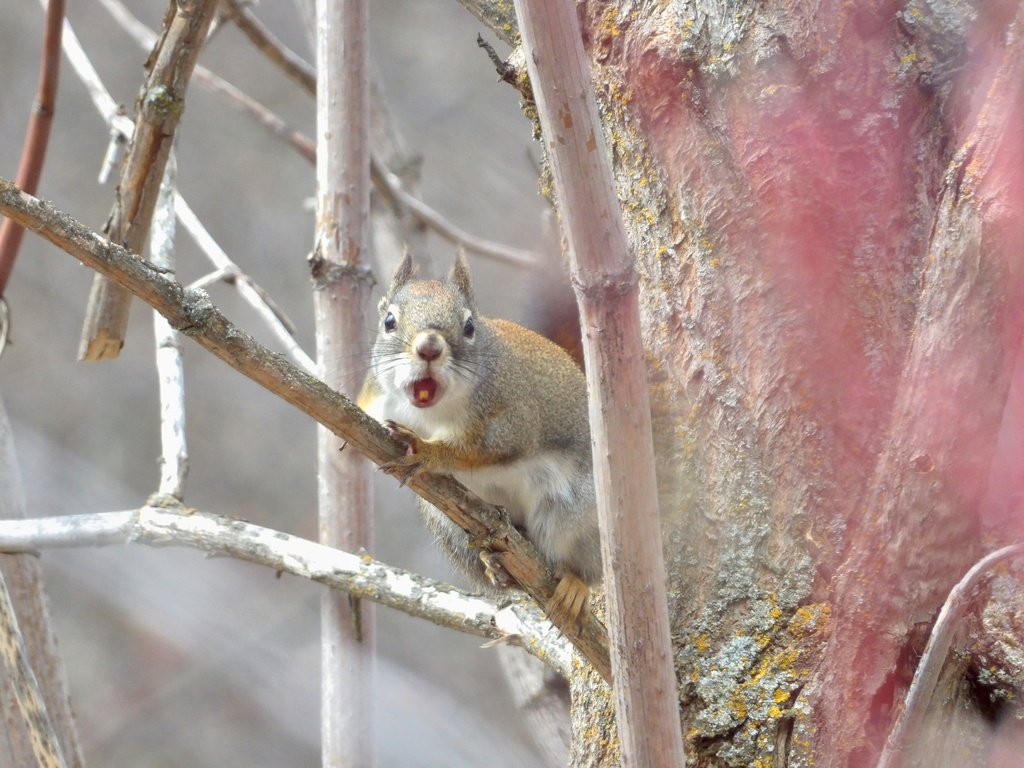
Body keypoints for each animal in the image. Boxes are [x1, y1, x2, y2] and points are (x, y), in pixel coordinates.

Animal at [357, 251, 601, 634]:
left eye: (469, 327)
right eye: (389, 321)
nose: (429, 347)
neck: (435, 413)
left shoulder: (511, 420)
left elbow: (483, 450)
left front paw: (428, 452)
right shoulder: (374, 402)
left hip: (579, 515)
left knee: (581, 563)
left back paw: (575, 585)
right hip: (449, 528)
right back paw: (495, 563)